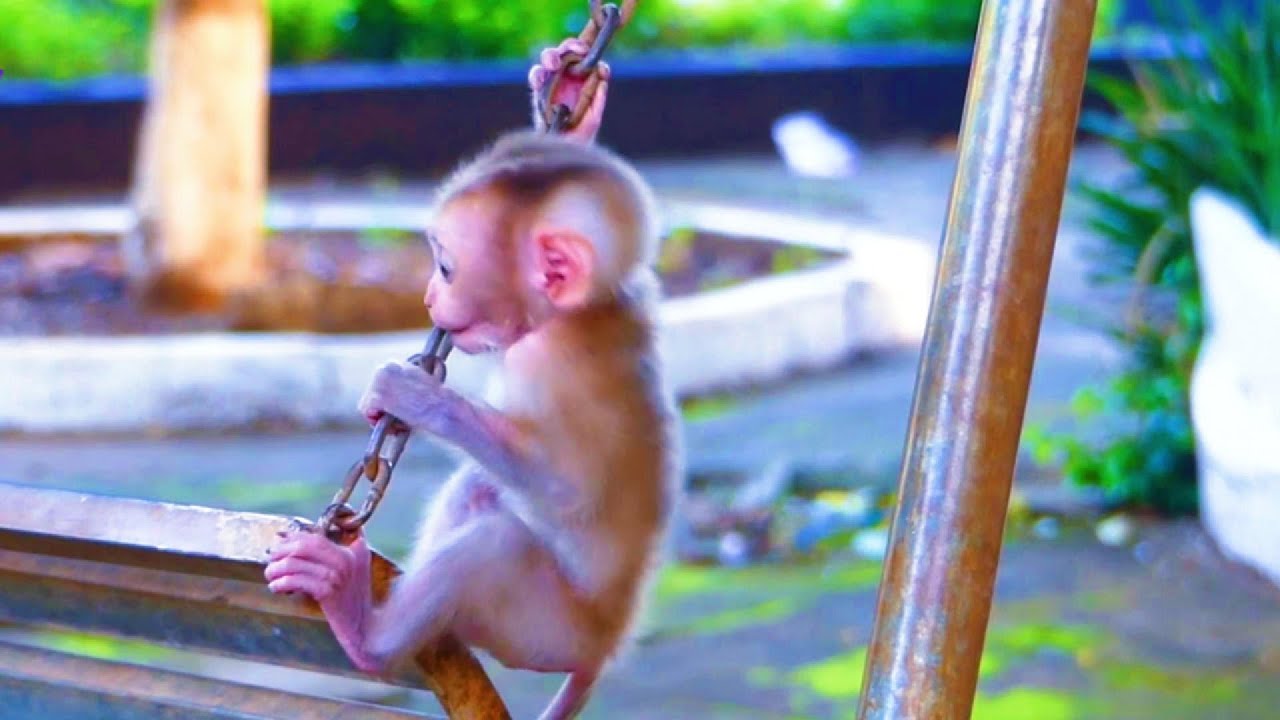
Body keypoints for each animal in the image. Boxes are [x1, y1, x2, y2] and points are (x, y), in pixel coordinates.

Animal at [264, 39, 680, 720]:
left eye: (446, 267)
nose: (430, 299)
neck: (581, 314)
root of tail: (605, 647)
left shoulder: (552, 365)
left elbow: (570, 490)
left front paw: (415, 395)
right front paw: (569, 96)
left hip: (547, 626)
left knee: (495, 546)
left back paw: (362, 629)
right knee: (478, 490)